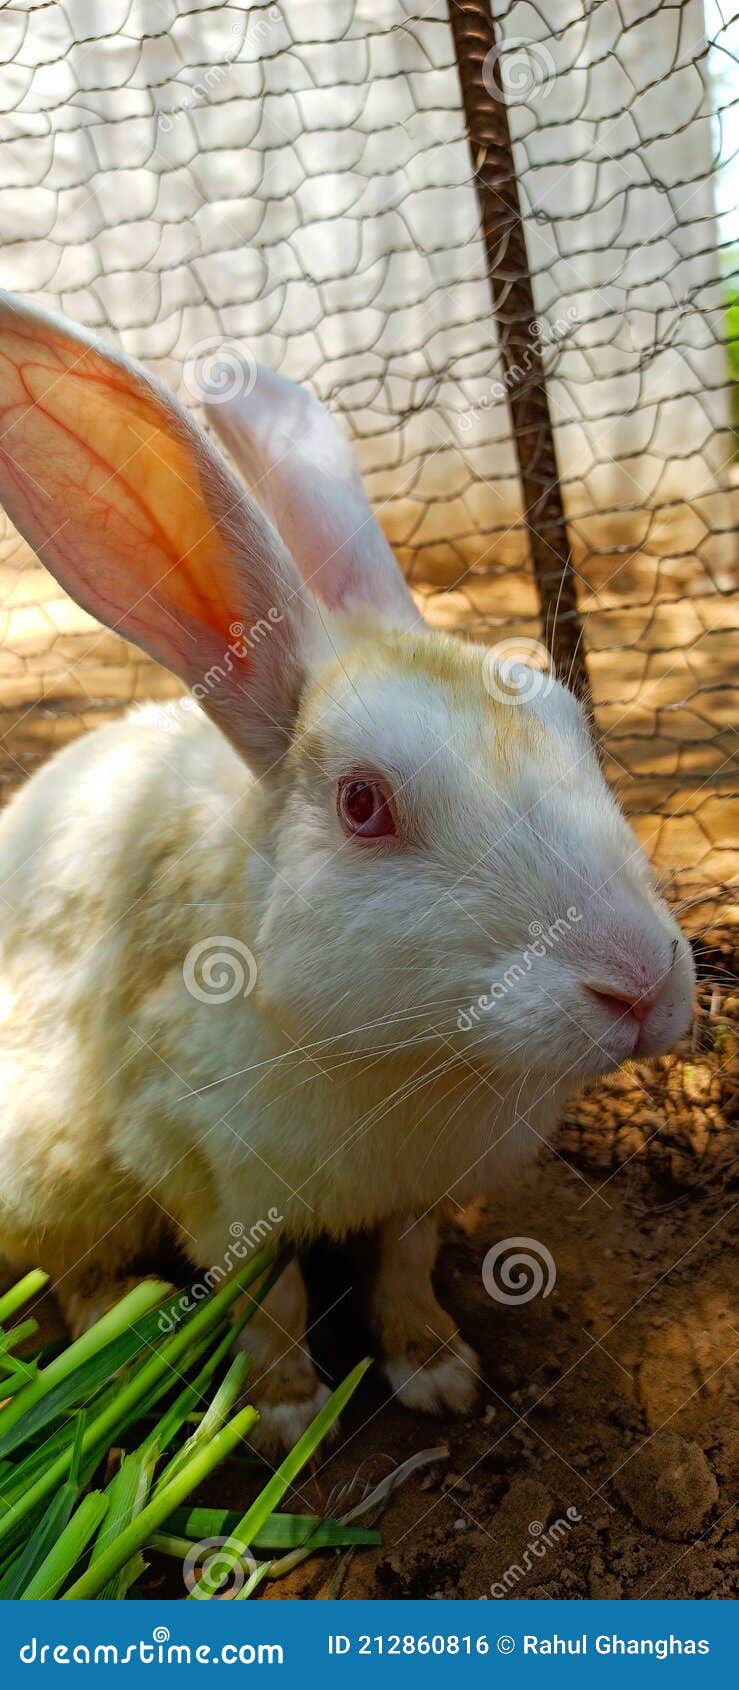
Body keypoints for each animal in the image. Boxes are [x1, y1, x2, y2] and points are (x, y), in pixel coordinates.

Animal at [0, 291, 695, 1449]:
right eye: (363, 804)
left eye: (568, 718)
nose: (642, 986)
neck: (416, 1054)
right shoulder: (208, 1172)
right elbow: (266, 1295)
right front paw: (284, 1414)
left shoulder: (418, 1191)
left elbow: (404, 1261)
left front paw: (437, 1370)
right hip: (46, 1160)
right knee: (67, 1265)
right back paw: (124, 1336)